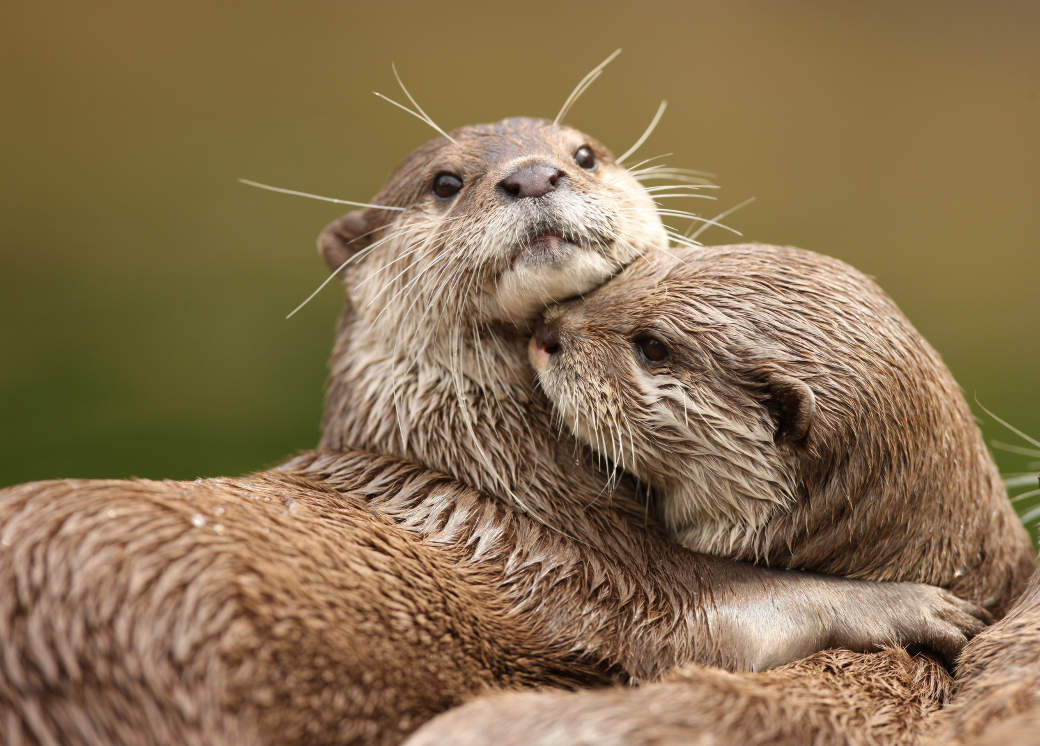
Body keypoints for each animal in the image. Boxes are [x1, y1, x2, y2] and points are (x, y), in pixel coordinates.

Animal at [0, 118, 987, 745]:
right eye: (447, 183)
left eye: (583, 152)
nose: (535, 175)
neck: (485, 455)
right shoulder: (596, 570)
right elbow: (732, 613)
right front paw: (911, 604)